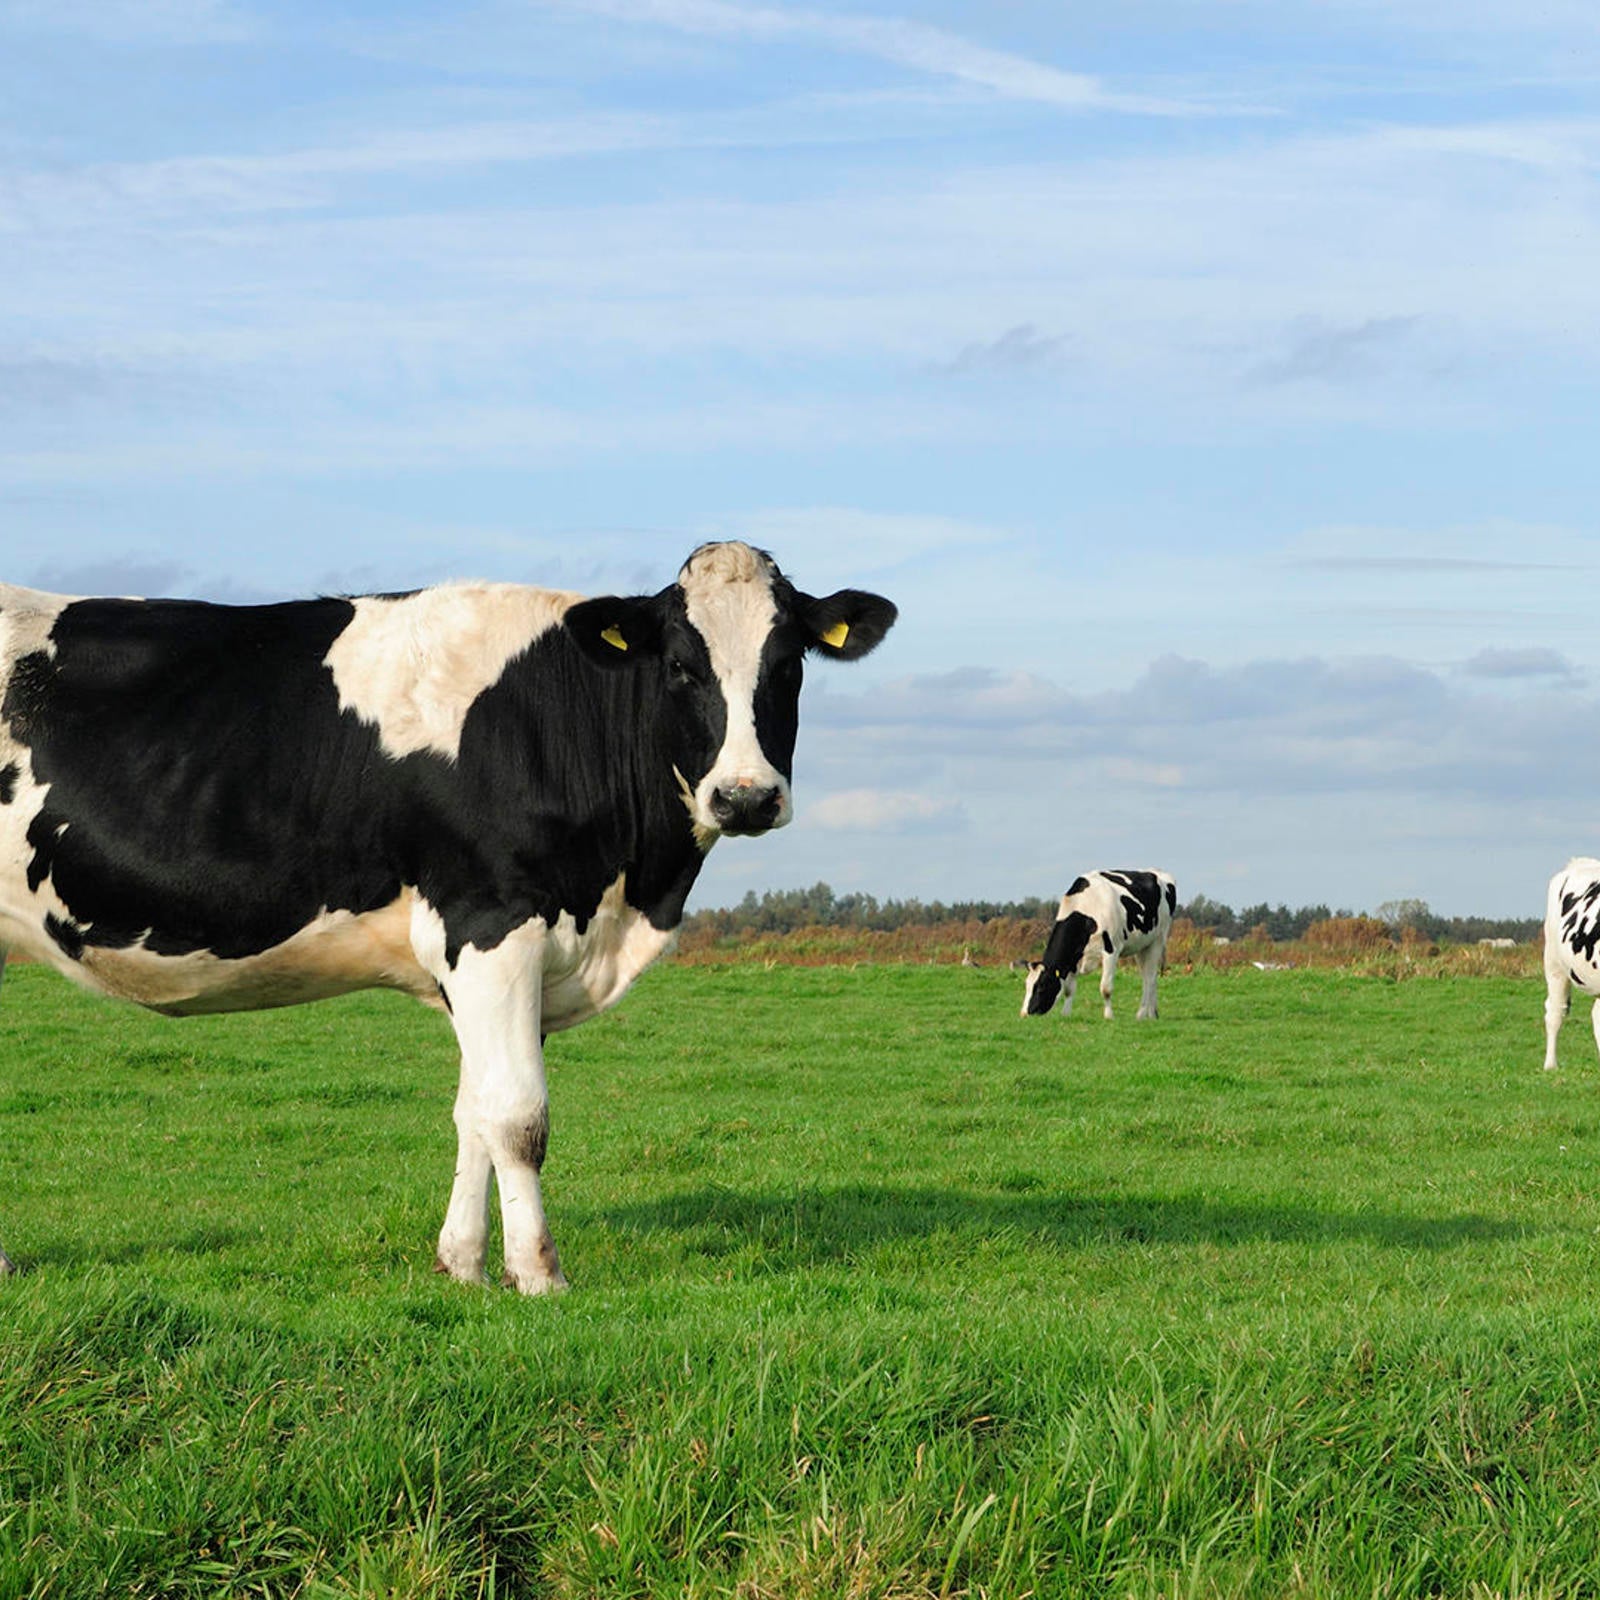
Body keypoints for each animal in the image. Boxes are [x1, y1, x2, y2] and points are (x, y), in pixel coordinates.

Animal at [0, 542, 895, 1291]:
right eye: (679, 665)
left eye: (788, 664)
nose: (745, 797)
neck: (627, 896)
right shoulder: (491, 924)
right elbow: (518, 1117)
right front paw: (539, 1276)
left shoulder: (503, 957)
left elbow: (473, 1113)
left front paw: (462, 1267)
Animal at [1020, 869, 1177, 1023]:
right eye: (1026, 984)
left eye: (1041, 986)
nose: (1024, 1013)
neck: (1087, 909)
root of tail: (1160, 873)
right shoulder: (1073, 958)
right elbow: (1069, 989)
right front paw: (1065, 1014)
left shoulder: (1111, 950)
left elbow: (1106, 988)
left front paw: (1109, 1016)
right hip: (1141, 945)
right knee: (1148, 977)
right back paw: (1152, 1014)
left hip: (1158, 939)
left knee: (1149, 978)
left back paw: (1141, 1014)